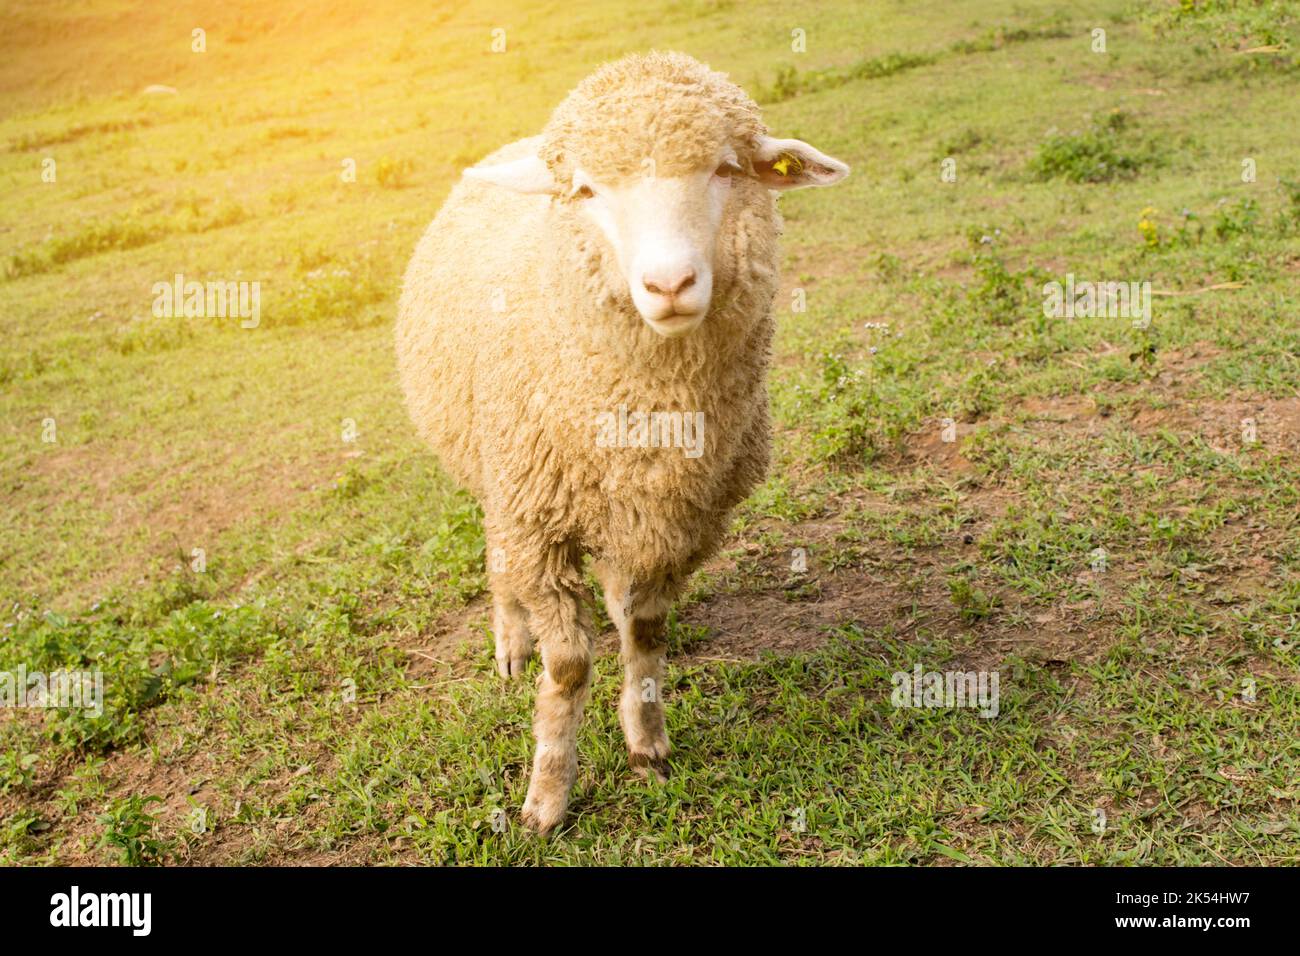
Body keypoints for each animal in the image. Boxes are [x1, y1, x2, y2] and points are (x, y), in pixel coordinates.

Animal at [396, 50, 848, 834]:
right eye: (584, 189)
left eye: (727, 169)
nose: (669, 283)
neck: (649, 414)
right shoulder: (535, 518)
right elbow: (569, 667)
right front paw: (547, 797)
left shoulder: (679, 524)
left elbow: (645, 639)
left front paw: (647, 746)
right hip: (495, 472)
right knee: (498, 554)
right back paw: (511, 641)